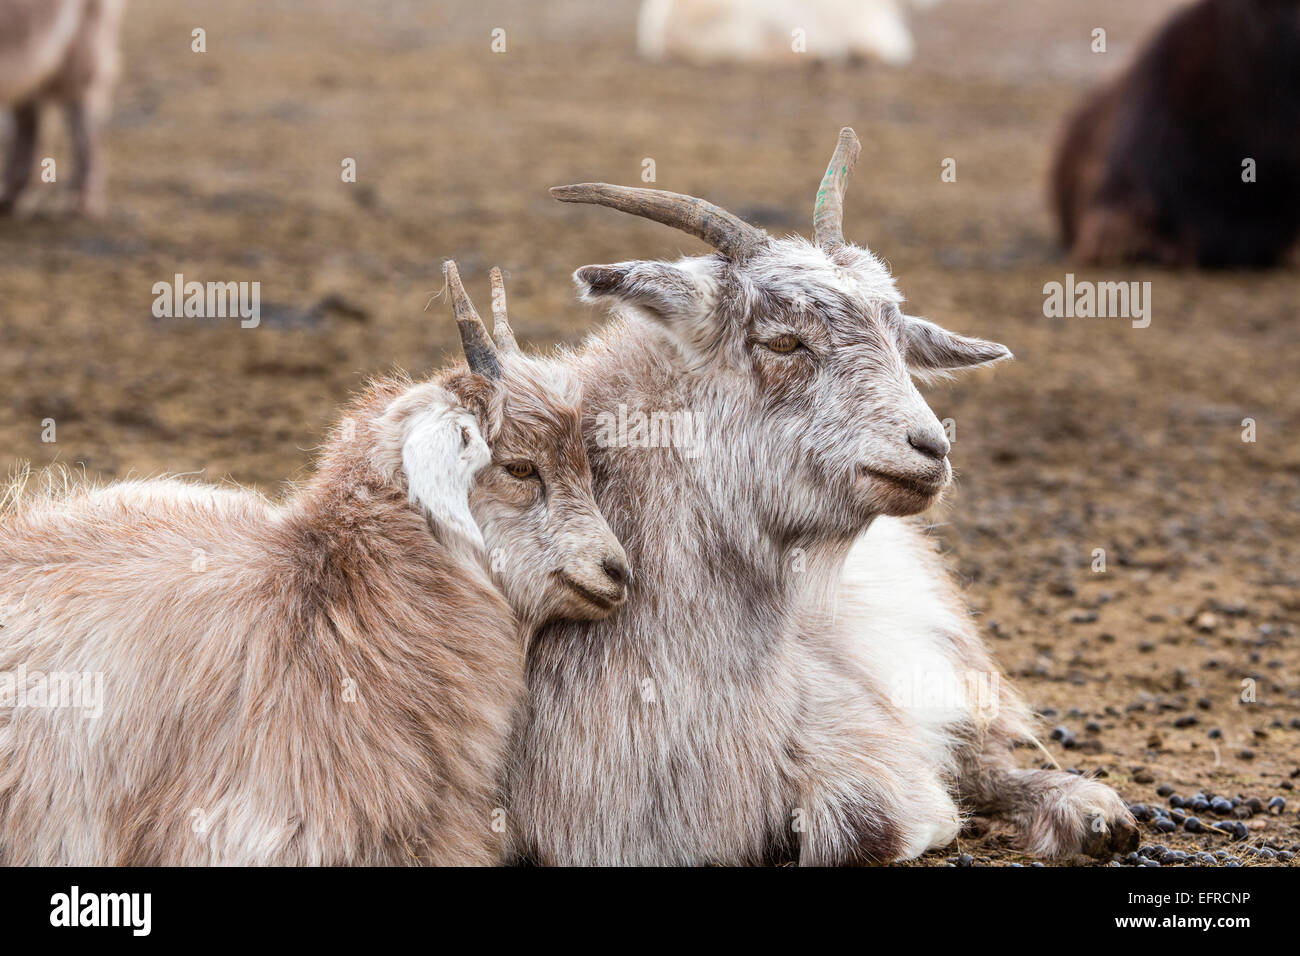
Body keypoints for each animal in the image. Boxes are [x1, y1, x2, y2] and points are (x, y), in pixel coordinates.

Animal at [502, 129, 1139, 865]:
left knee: (985, 757)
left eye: (899, 341)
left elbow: (871, 820)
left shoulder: (854, 716)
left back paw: (1089, 812)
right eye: (784, 340)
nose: (929, 448)